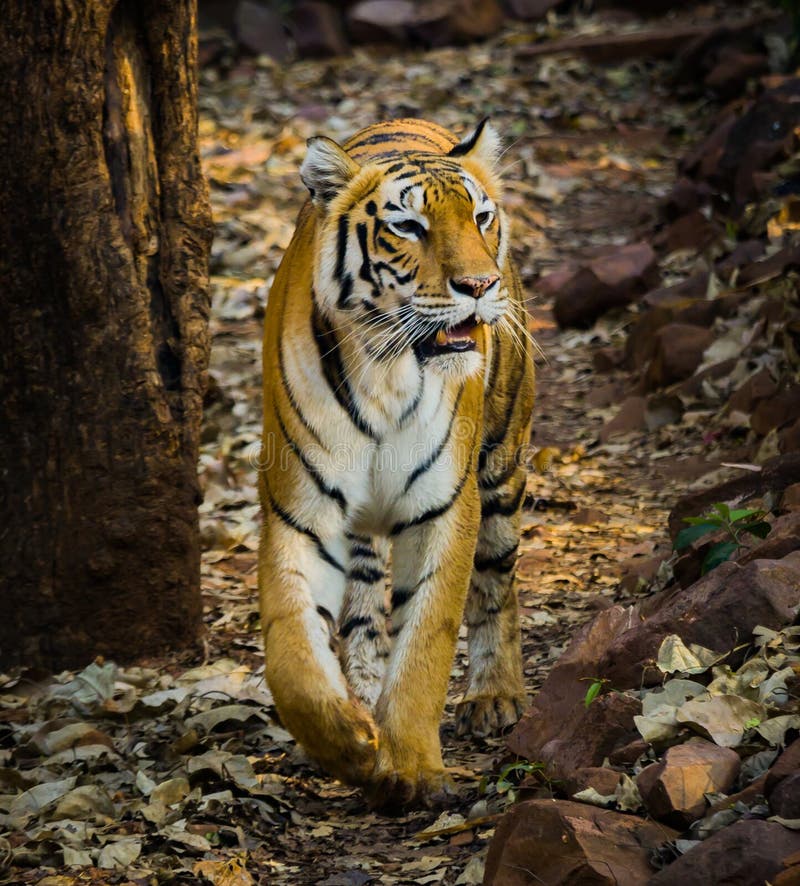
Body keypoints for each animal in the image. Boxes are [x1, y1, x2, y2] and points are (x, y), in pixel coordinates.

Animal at [257, 118, 536, 809]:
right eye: (408, 227)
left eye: (481, 216)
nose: (479, 287)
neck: (387, 369)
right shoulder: (300, 513)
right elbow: (292, 652)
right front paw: (352, 744)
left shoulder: (444, 505)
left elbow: (427, 642)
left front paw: (410, 766)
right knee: (361, 614)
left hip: (501, 465)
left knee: (499, 581)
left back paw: (495, 695)